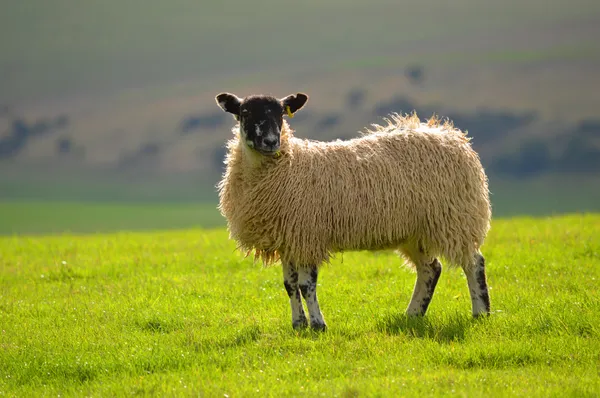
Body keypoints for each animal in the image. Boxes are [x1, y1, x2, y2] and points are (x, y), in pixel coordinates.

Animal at [216, 91, 492, 332]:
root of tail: (453, 137)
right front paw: (298, 325)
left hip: (455, 217)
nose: (271, 142)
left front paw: (318, 325)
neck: (288, 165)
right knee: (430, 269)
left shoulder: (308, 236)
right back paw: (412, 314)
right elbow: (290, 285)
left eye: (281, 114)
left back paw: (481, 313)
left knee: (473, 263)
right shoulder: (289, 240)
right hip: (416, 230)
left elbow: (306, 285)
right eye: (245, 112)